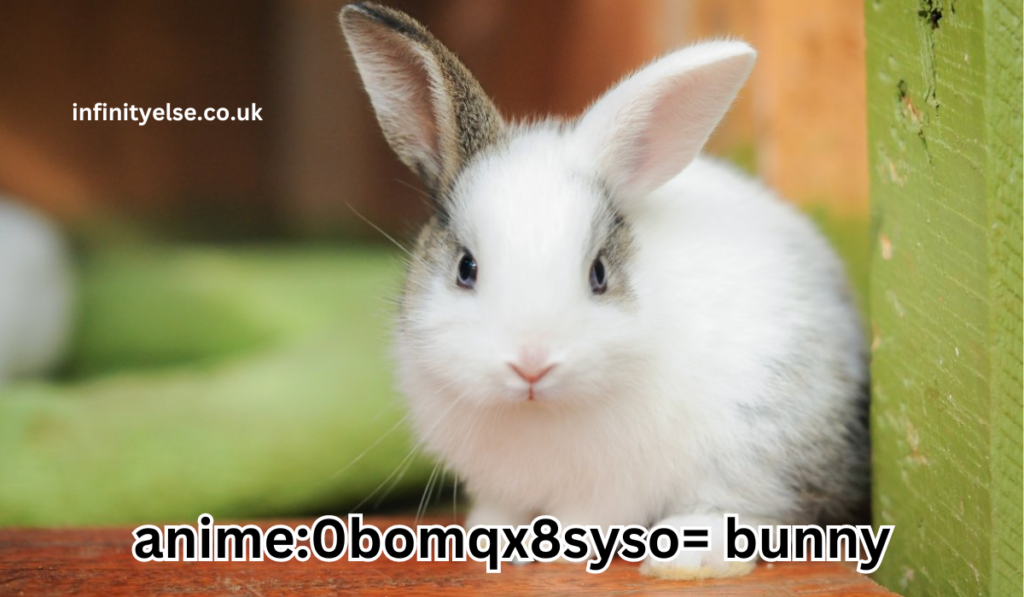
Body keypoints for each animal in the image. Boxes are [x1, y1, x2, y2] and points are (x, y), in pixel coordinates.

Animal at [340, 2, 869, 579]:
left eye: (598, 274)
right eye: (466, 268)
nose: (531, 365)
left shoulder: (615, 488)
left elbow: (589, 515)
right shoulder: (499, 486)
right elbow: (499, 510)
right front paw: (491, 539)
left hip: (762, 443)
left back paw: (686, 558)